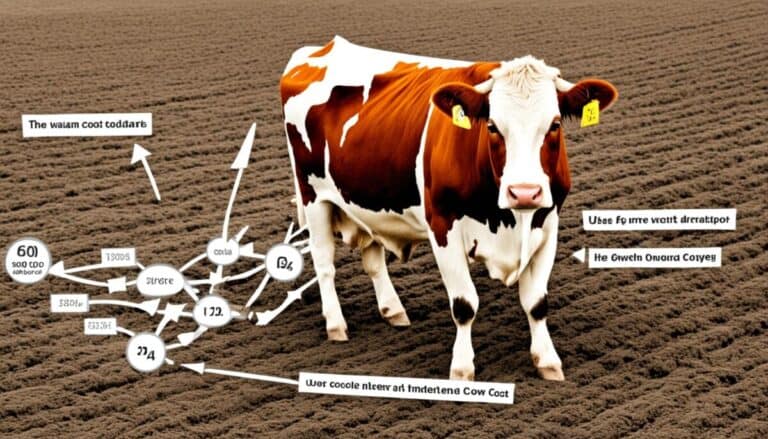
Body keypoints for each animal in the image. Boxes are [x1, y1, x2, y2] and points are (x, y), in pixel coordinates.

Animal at [280, 36, 617, 381]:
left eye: (554, 124)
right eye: (492, 126)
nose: (524, 192)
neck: (506, 220)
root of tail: (318, 49)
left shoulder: (547, 224)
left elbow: (536, 302)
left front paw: (548, 362)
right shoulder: (443, 225)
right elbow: (464, 304)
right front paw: (462, 369)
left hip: (364, 201)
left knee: (373, 259)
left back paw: (393, 310)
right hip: (313, 196)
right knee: (324, 263)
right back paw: (336, 325)